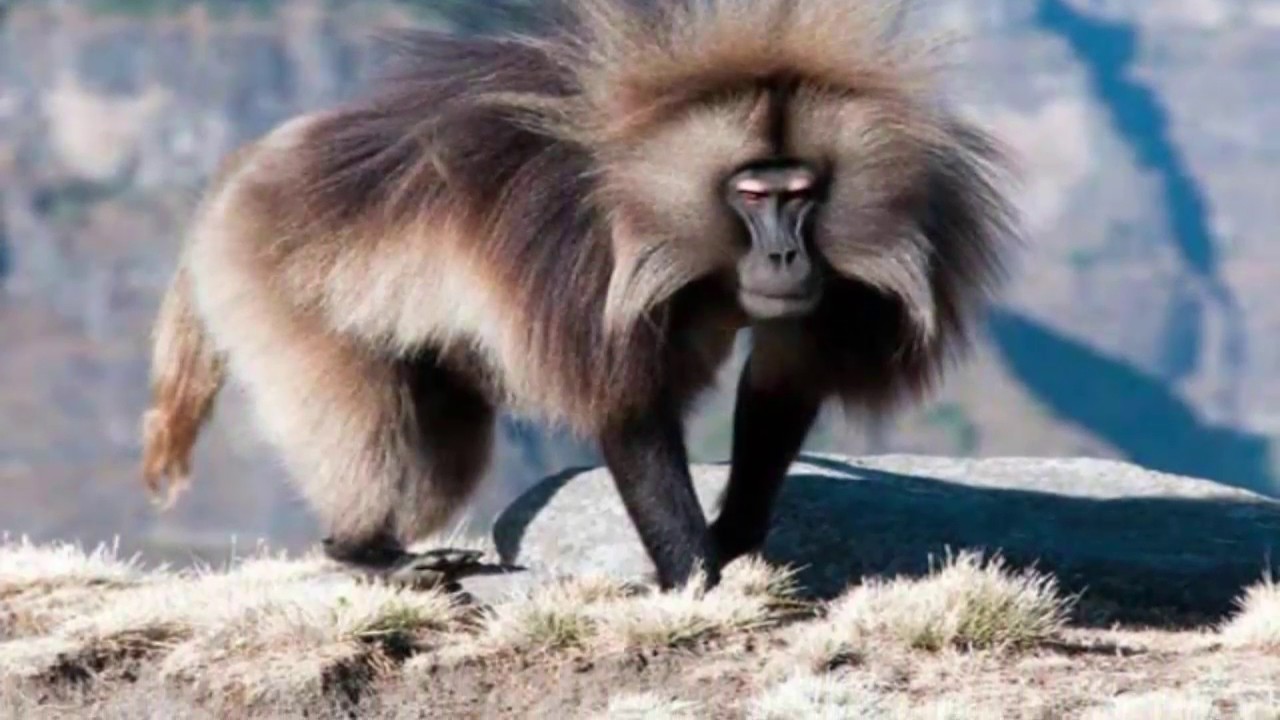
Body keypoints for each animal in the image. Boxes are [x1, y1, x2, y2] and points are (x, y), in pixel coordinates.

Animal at [140, 0, 1019, 591]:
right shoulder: (592, 267)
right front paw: (697, 579)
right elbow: (628, 412)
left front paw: (734, 536)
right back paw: (365, 553)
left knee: (443, 456)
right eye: (753, 195)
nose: (784, 256)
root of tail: (239, 176)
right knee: (364, 425)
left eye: (801, 194)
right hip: (269, 288)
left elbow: (780, 384)